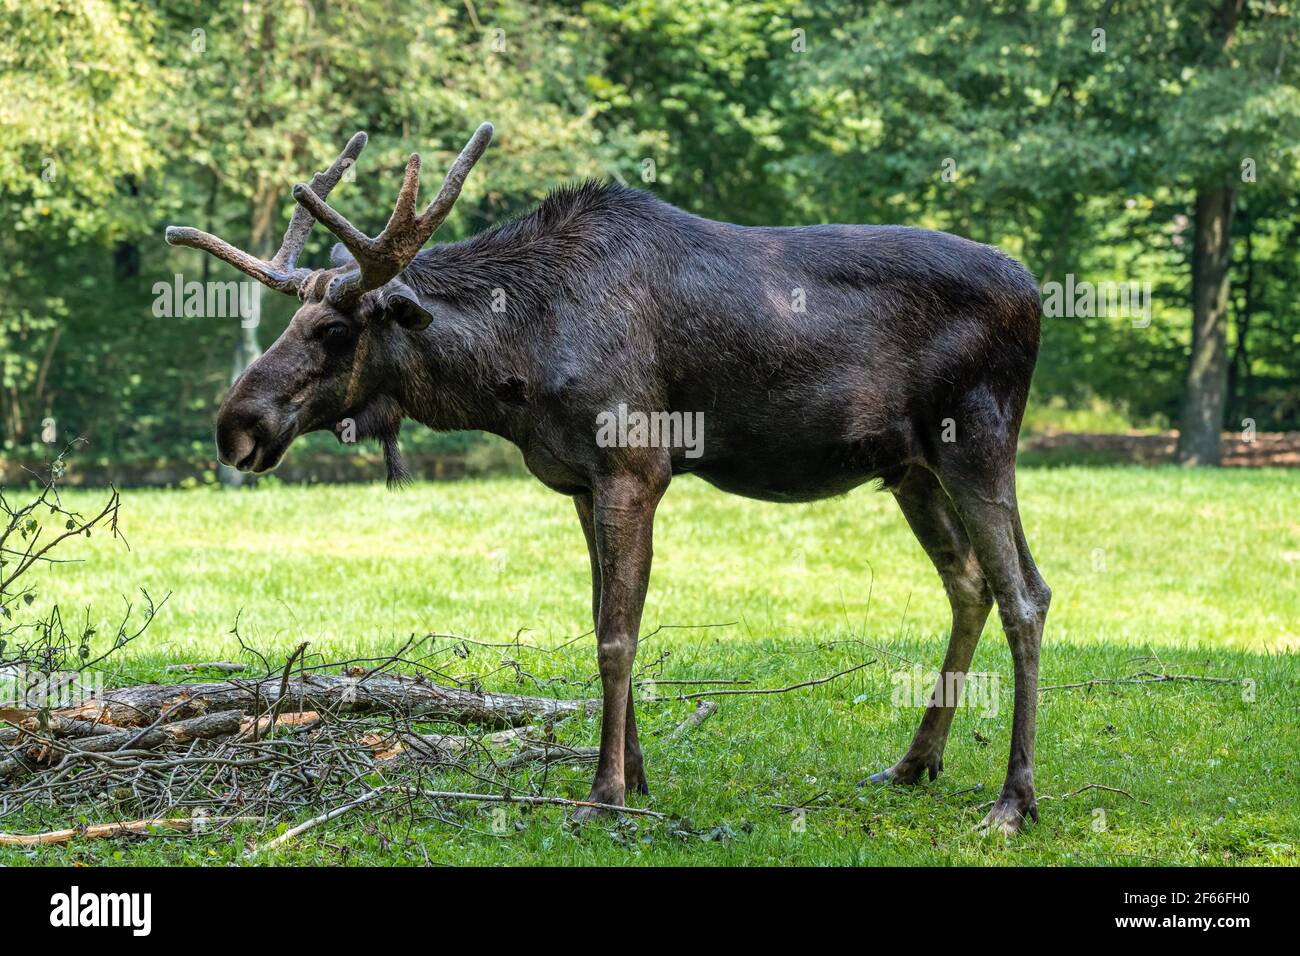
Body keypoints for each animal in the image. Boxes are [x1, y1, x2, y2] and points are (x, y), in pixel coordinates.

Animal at [166, 124, 1050, 834]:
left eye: (335, 330)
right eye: (293, 320)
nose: (235, 426)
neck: (513, 364)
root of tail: (1038, 292)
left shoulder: (635, 465)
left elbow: (618, 636)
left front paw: (605, 794)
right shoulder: (580, 482)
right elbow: (600, 617)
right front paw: (638, 775)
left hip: (979, 438)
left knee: (1024, 595)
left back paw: (1012, 802)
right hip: (910, 466)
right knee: (971, 583)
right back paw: (914, 763)